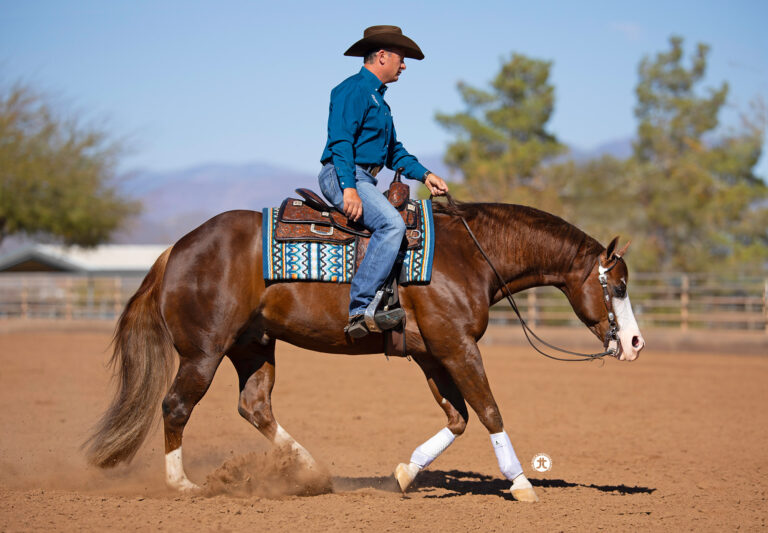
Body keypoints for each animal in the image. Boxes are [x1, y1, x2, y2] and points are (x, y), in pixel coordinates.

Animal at [84, 199, 645, 502]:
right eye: (617, 285)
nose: (635, 343)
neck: (468, 254)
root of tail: (176, 249)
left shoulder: (431, 352)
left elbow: (458, 417)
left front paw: (404, 474)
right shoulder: (457, 346)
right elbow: (488, 410)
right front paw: (523, 483)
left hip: (253, 346)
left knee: (255, 405)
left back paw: (311, 473)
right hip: (203, 352)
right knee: (177, 405)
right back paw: (182, 484)